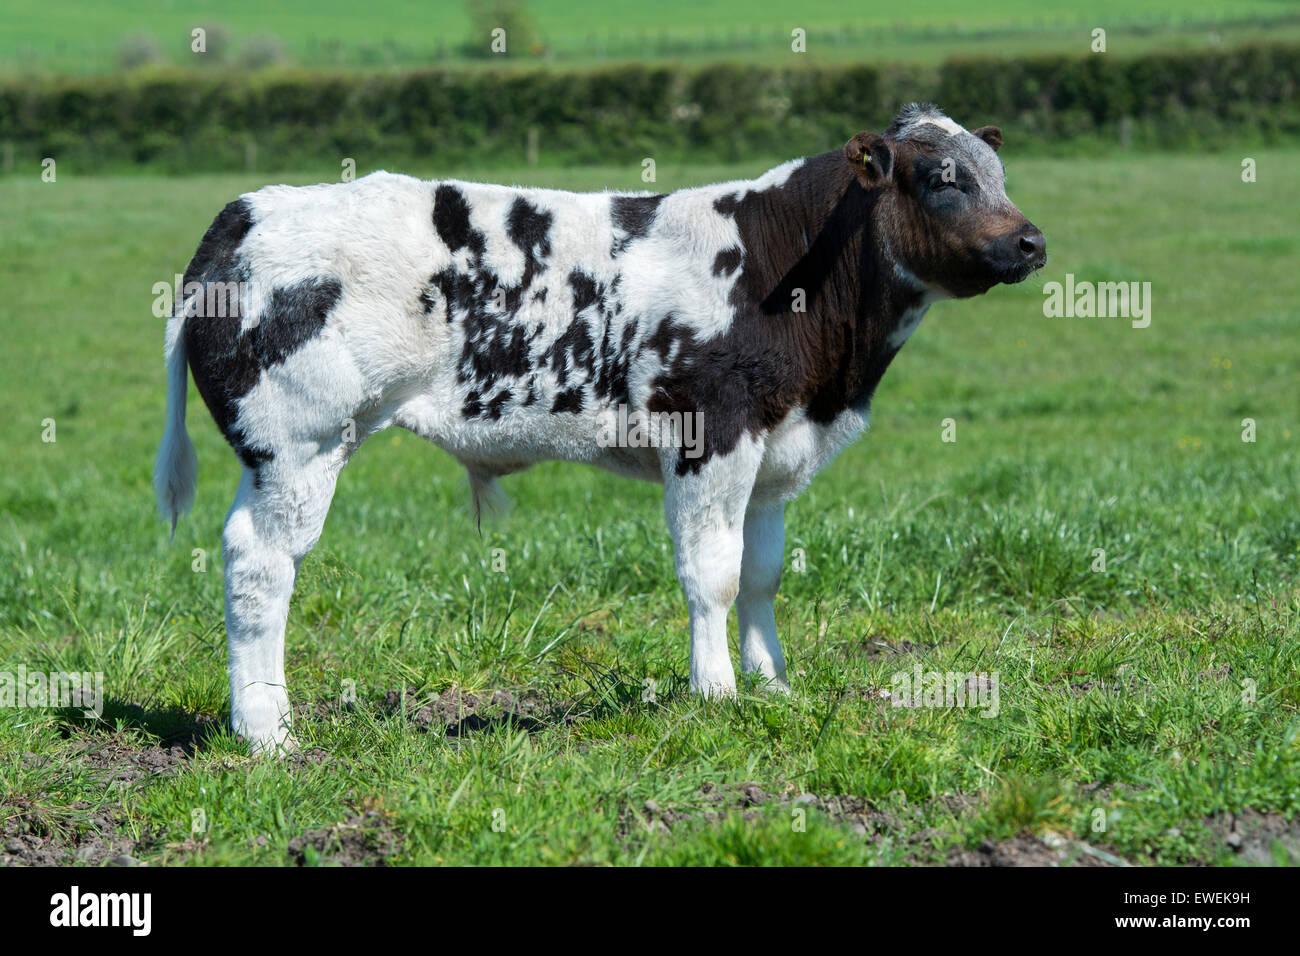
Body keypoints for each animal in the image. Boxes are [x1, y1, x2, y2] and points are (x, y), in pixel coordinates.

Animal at [154, 103, 1045, 755]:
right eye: (943, 177)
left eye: (999, 173)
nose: (1031, 240)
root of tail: (250, 208)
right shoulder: (709, 430)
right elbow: (712, 576)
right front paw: (717, 694)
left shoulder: (774, 449)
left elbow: (761, 576)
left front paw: (773, 684)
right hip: (296, 445)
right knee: (260, 566)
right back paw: (267, 732)